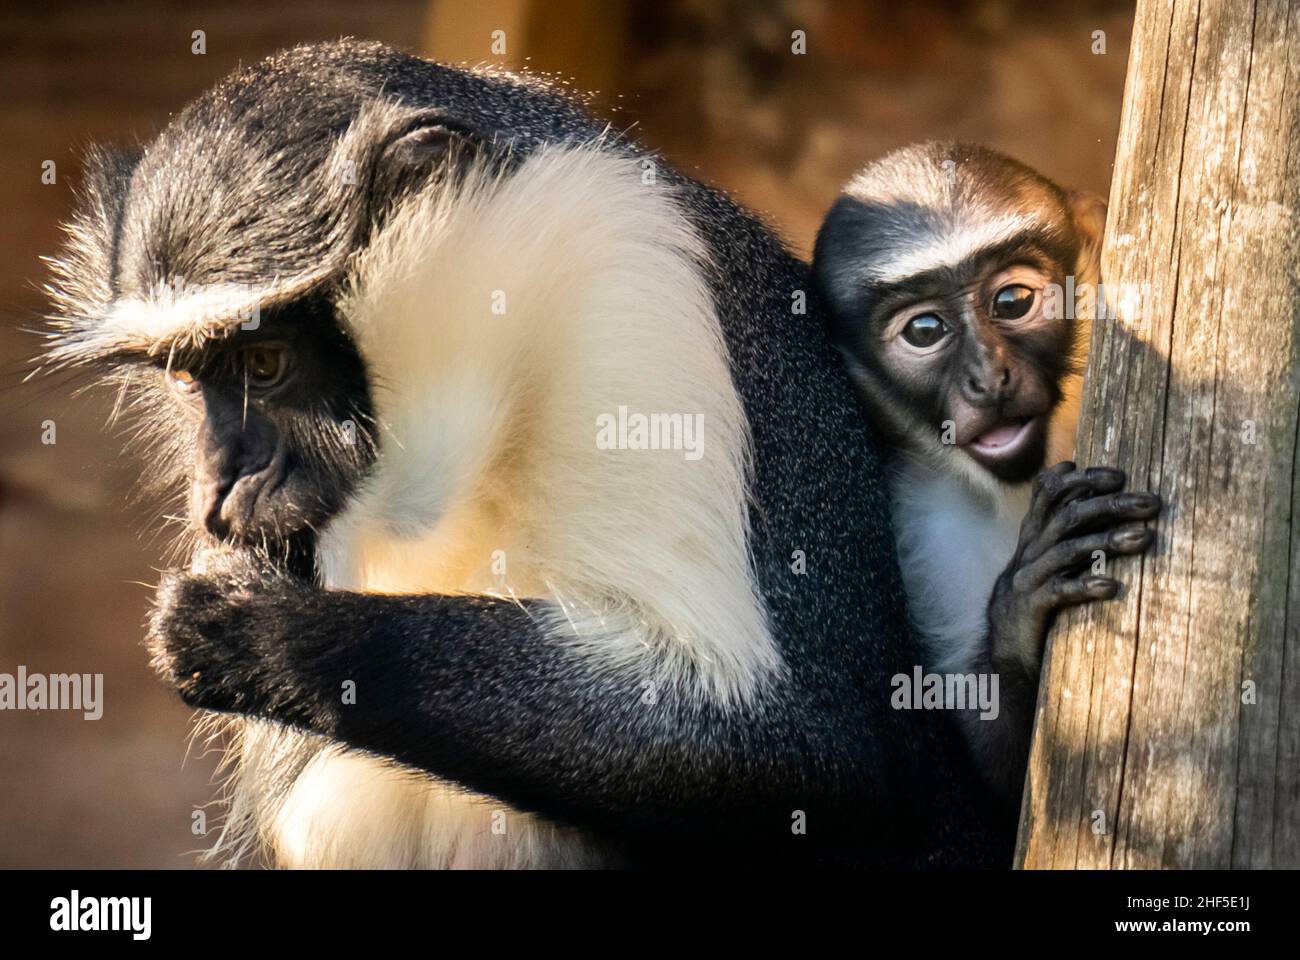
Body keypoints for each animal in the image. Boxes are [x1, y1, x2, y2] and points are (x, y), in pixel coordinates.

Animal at [38, 43, 1011, 868]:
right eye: (189, 378)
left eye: (266, 363)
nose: (222, 482)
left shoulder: (623, 278)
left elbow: (795, 750)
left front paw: (261, 634)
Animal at [813, 141, 1162, 803]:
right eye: (925, 330)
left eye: (1012, 302)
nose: (987, 377)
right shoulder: (923, 524)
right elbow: (994, 777)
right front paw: (1020, 611)